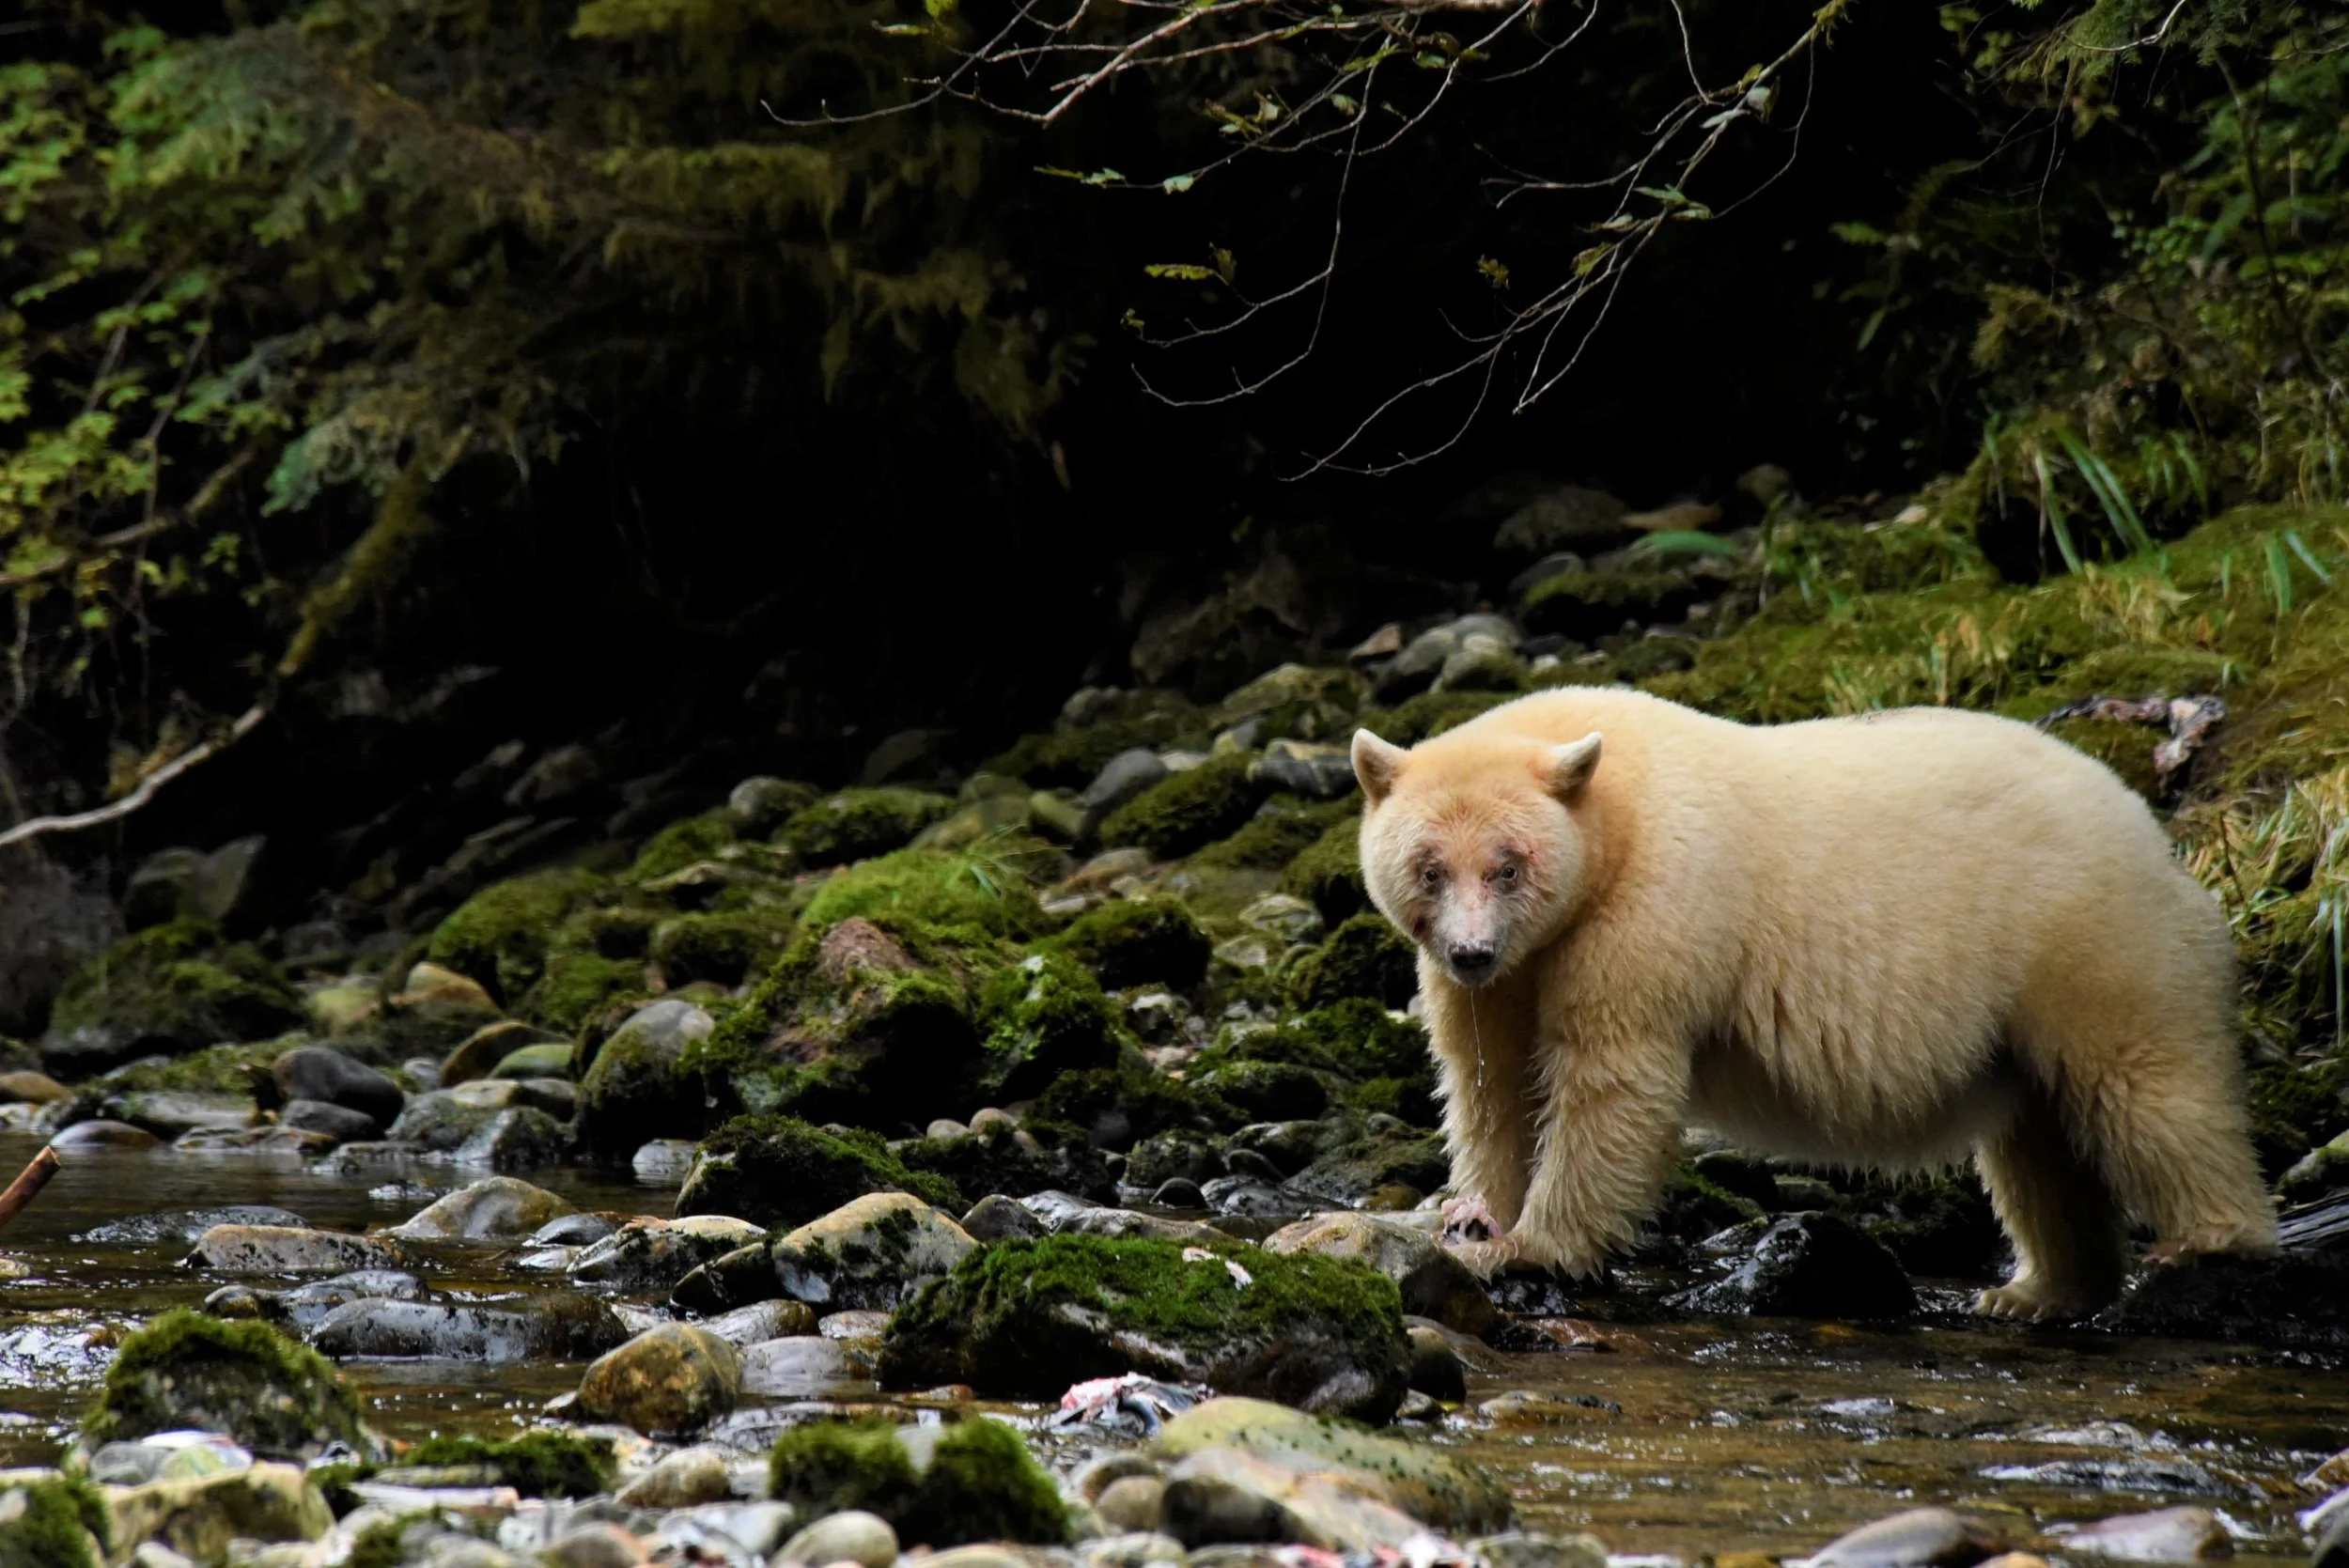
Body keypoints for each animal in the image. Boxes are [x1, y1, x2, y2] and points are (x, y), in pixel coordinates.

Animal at [1350, 685, 2278, 1319]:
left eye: (1509, 864)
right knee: (2039, 1143)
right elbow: (1489, 1080)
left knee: (2147, 1088)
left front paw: (1532, 1247)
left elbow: (1609, 1080)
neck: (1612, 810)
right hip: (2026, 1007)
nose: (1472, 950)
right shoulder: (1509, 975)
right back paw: (2041, 1289)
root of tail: (2149, 827)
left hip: (2086, 937)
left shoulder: (1651, 915)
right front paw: (1473, 1218)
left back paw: (2212, 1239)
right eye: (1430, 867)